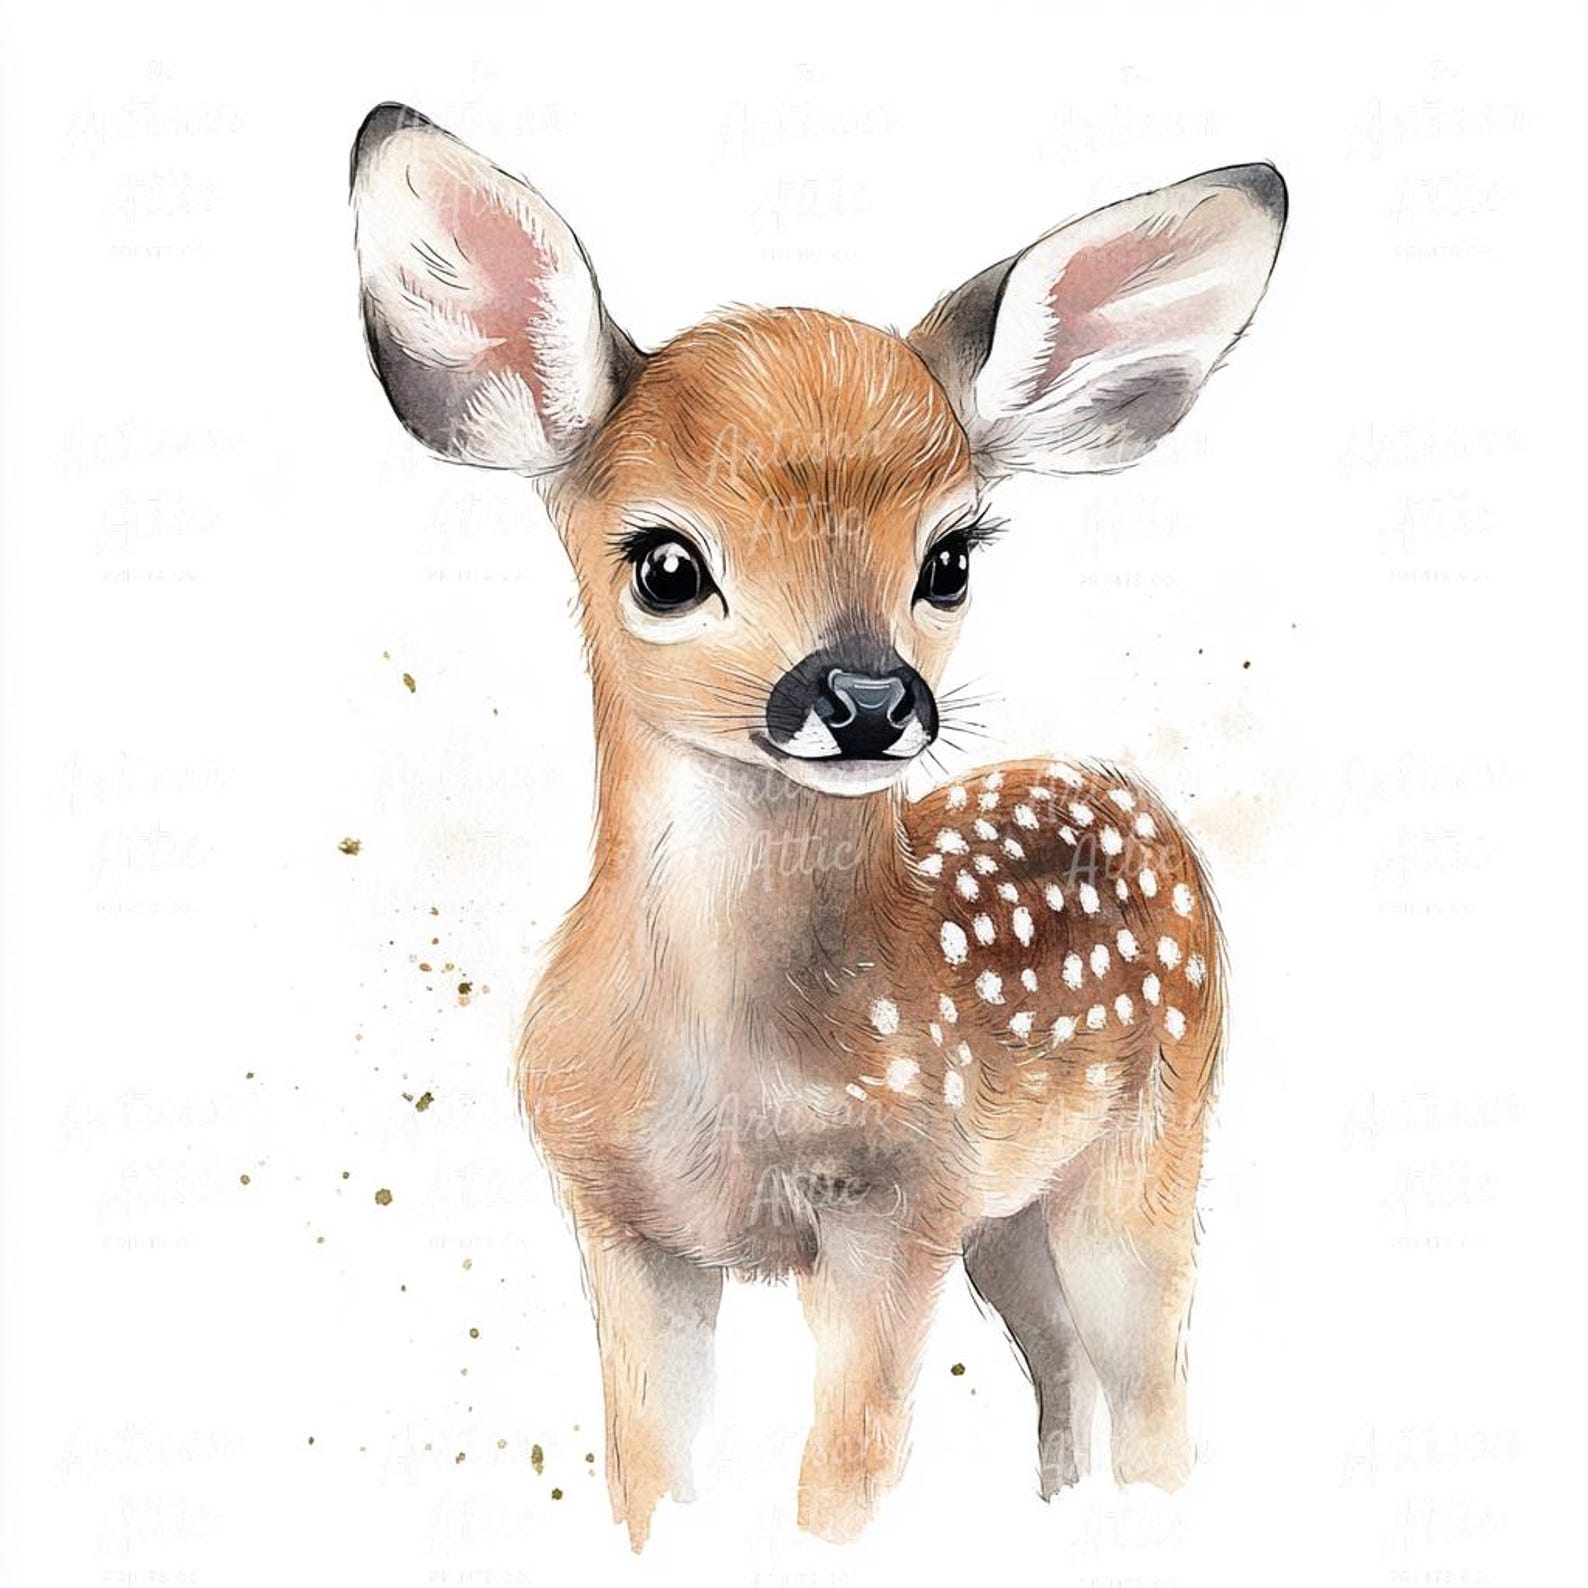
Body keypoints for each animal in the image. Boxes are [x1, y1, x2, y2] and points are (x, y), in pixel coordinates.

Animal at [349, 102, 1286, 1550]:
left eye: (949, 558)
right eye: (665, 565)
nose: (866, 696)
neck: (720, 1075)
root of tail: (1134, 801)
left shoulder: (893, 1201)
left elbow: (842, 1480)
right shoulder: (619, 1215)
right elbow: (651, 1475)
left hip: (1142, 1151)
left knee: (1152, 1393)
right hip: (1008, 1215)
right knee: (1062, 1369)